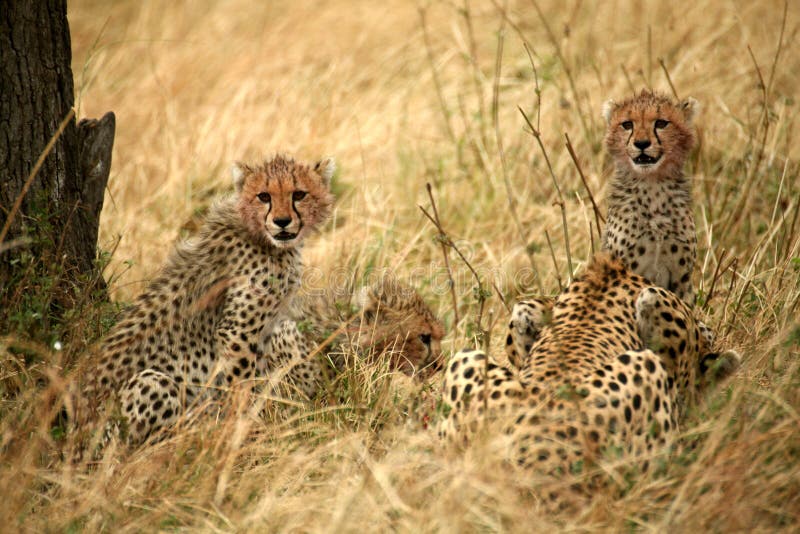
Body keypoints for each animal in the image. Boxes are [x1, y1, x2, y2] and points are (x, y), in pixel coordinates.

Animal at [68, 154, 335, 452]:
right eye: (264, 196)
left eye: (299, 194)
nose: (282, 221)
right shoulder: (237, 332)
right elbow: (240, 382)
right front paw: (239, 426)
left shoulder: (265, 328)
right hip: (152, 382)